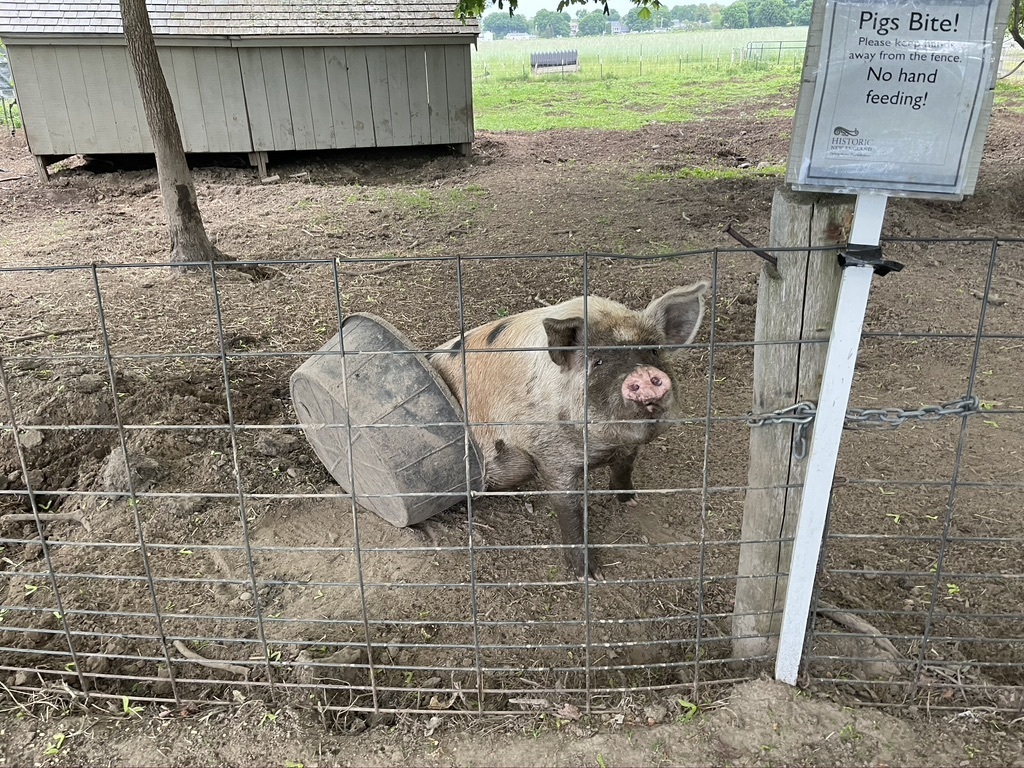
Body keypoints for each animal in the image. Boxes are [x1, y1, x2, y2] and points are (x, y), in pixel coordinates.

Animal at [429, 281, 709, 580]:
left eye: (654, 350)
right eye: (597, 362)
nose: (642, 373)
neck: (604, 445)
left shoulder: (627, 447)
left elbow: (625, 467)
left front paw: (630, 500)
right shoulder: (550, 455)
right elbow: (569, 510)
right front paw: (590, 576)